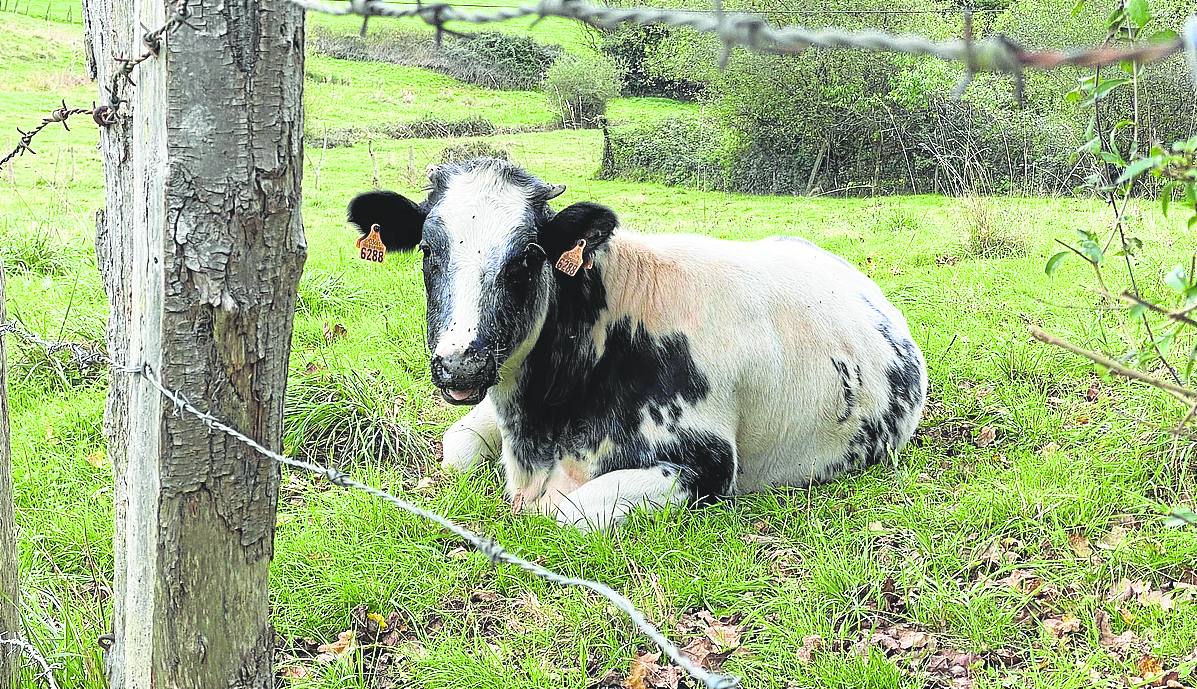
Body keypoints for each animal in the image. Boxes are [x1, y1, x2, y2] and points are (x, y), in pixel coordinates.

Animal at [347, 158, 927, 530]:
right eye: (428, 251)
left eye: (528, 257)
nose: (460, 365)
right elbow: (457, 447)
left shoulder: (708, 465)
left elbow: (569, 513)